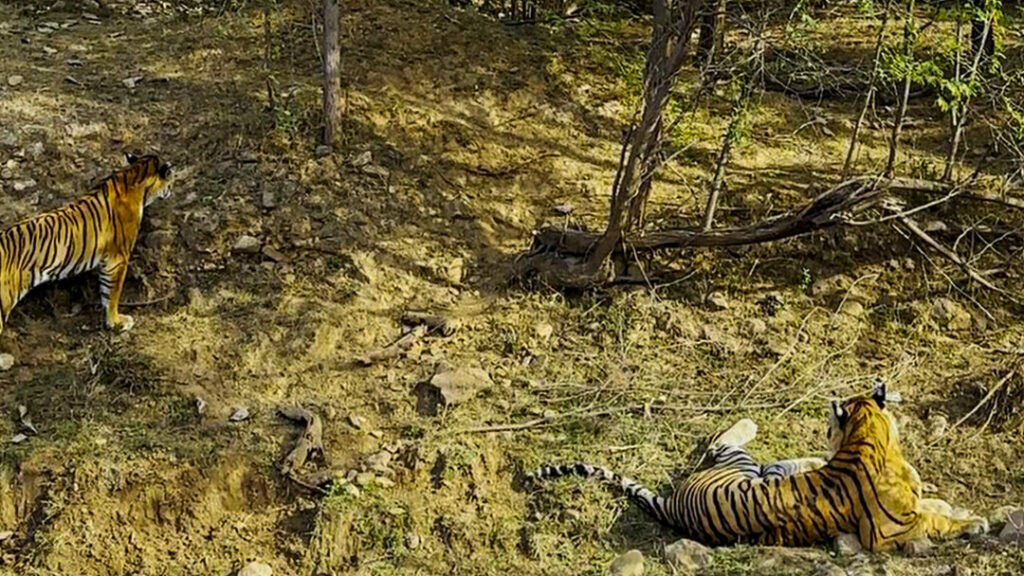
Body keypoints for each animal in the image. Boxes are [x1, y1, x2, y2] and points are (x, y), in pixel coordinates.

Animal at [0, 153, 173, 336]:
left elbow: (106, 292)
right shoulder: (118, 258)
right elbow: (112, 293)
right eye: (170, 178)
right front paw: (116, 322)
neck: (133, 173)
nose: (170, 189)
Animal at [526, 382, 988, 552]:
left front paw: (958, 509)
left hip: (759, 474)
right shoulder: (888, 532)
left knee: (774, 465)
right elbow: (937, 521)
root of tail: (674, 503)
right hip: (739, 467)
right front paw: (974, 522)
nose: (825, 435)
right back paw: (750, 422)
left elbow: (934, 505)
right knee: (721, 441)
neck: (871, 436)